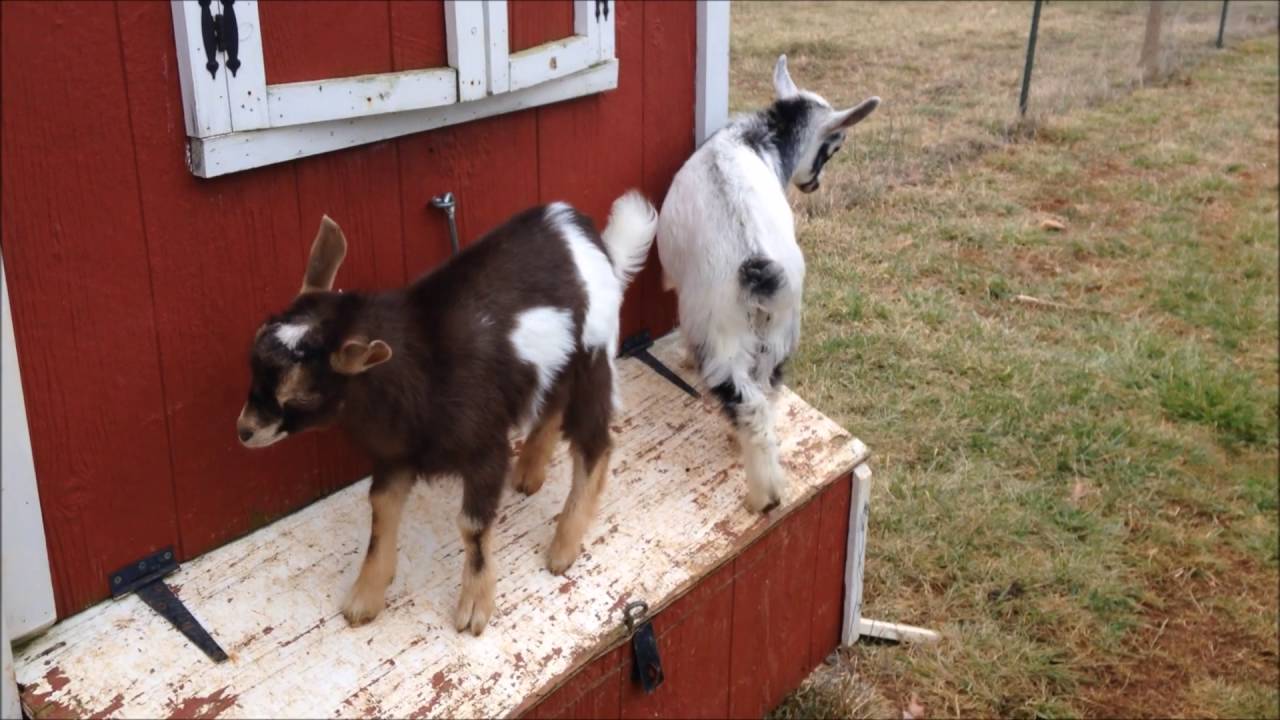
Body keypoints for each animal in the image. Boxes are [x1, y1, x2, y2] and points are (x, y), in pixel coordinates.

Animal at [235, 191, 657, 634]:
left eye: (297, 397)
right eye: (253, 366)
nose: (244, 431)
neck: (421, 366)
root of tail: (584, 234)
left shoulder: (486, 447)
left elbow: (472, 526)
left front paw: (474, 608)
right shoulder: (396, 453)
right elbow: (381, 508)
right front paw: (365, 596)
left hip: (593, 355)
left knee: (596, 444)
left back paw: (563, 547)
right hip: (556, 361)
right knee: (552, 402)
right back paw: (529, 473)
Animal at [657, 55, 879, 512]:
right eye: (835, 146)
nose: (814, 184)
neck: (756, 138)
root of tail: (755, 262)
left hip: (719, 330)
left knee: (749, 406)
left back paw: (763, 497)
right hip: (780, 332)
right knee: (767, 391)